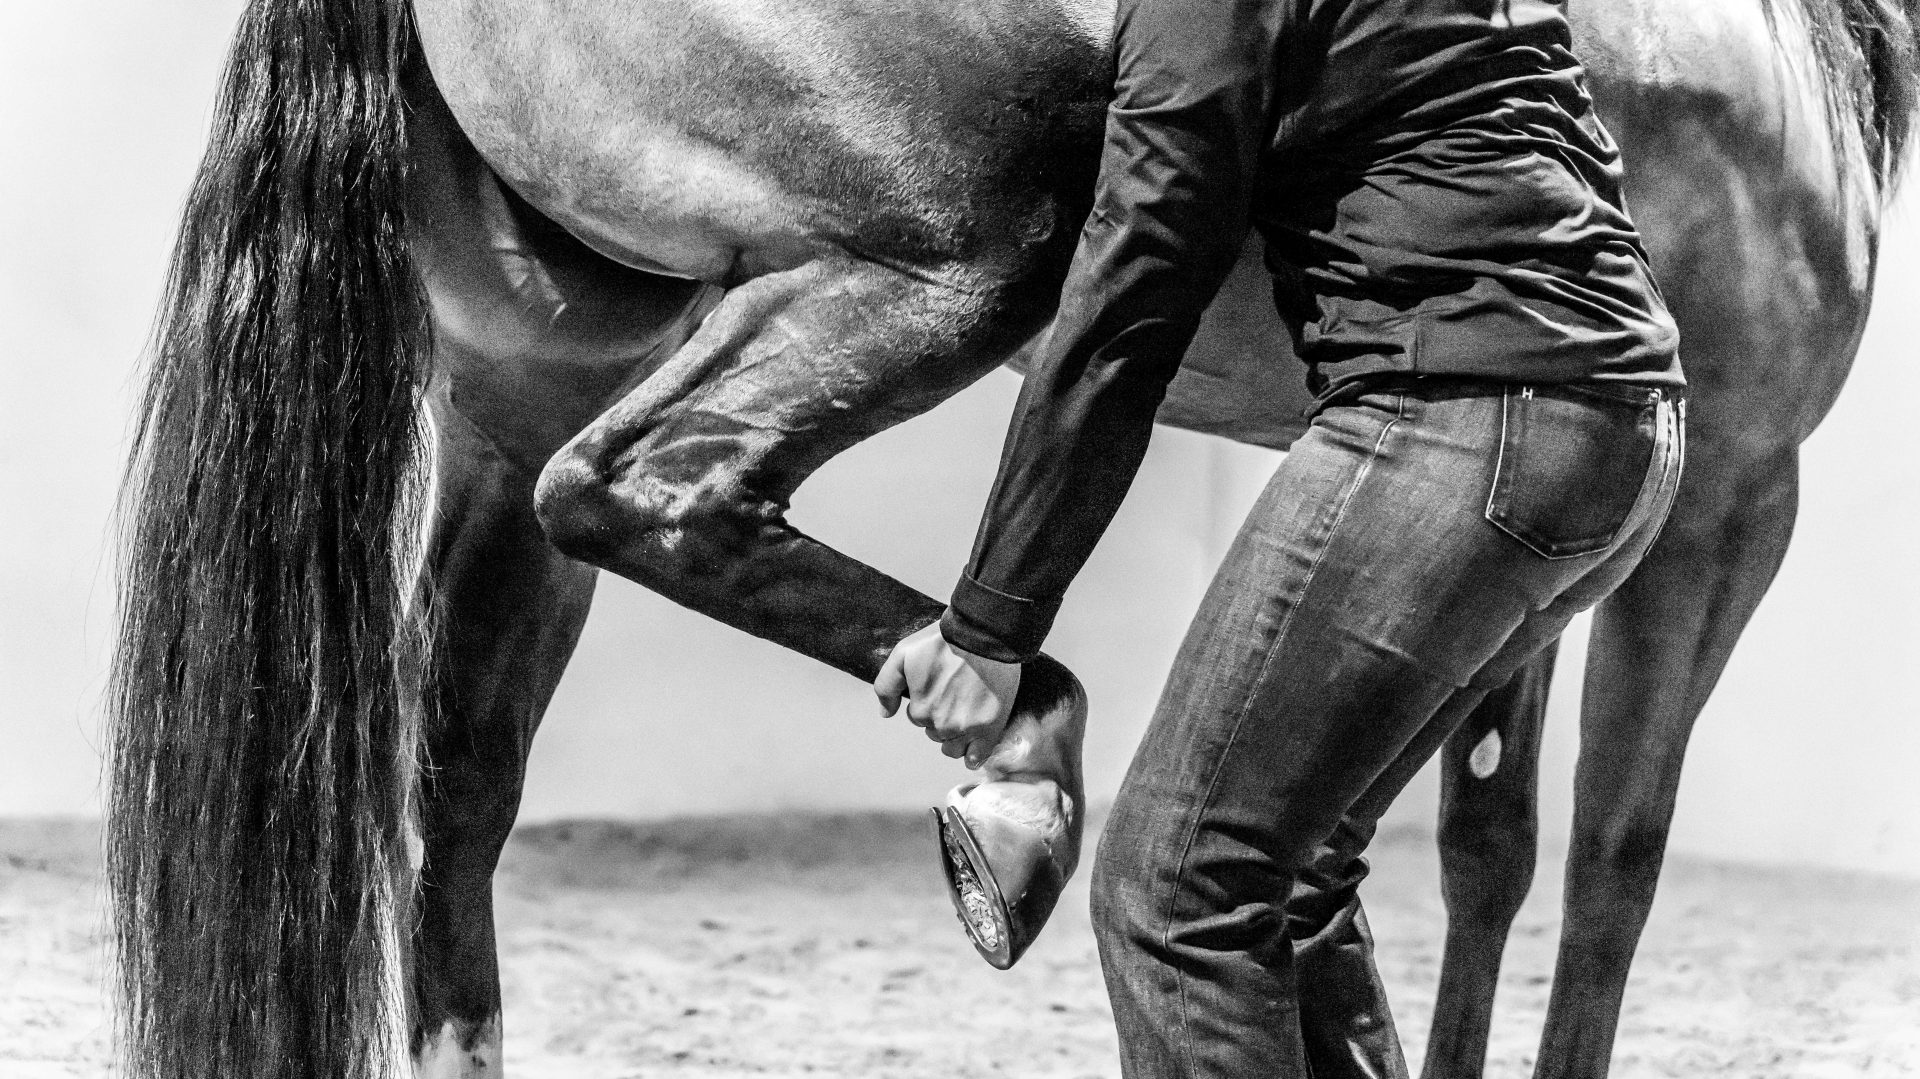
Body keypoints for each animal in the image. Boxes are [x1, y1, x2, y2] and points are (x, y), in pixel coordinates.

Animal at [107, 1, 1917, 1078]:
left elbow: (1492, 844)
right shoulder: (1728, 494)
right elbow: (1612, 862)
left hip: (525, 389)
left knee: (464, 776)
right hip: (950, 264)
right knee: (652, 490)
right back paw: (1025, 751)